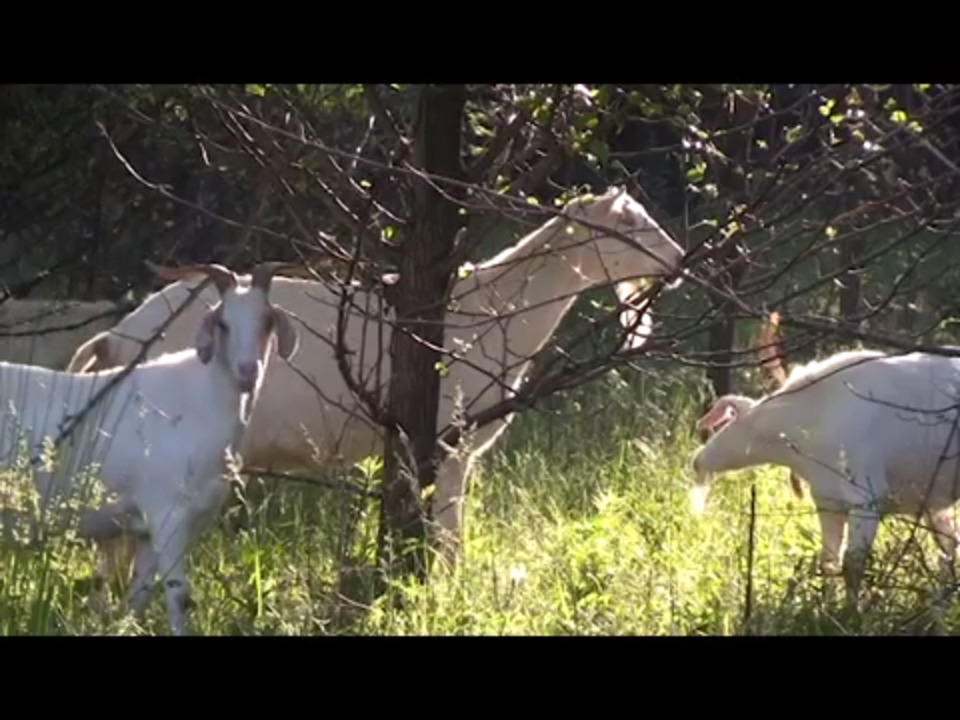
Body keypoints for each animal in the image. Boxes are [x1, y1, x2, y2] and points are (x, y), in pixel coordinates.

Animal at [0, 261, 299, 635]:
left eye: (267, 321)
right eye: (224, 323)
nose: (247, 372)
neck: (199, 402)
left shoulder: (146, 530)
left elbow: (138, 595)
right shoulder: (168, 515)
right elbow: (179, 595)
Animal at [67, 186, 686, 562]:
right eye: (629, 226)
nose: (679, 259)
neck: (486, 313)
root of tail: (119, 336)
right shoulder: (450, 443)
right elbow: (450, 536)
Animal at [691, 347, 960, 607]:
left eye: (722, 423)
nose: (696, 461)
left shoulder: (867, 498)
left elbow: (853, 565)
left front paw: (851, 612)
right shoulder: (827, 501)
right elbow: (829, 562)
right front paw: (826, 607)